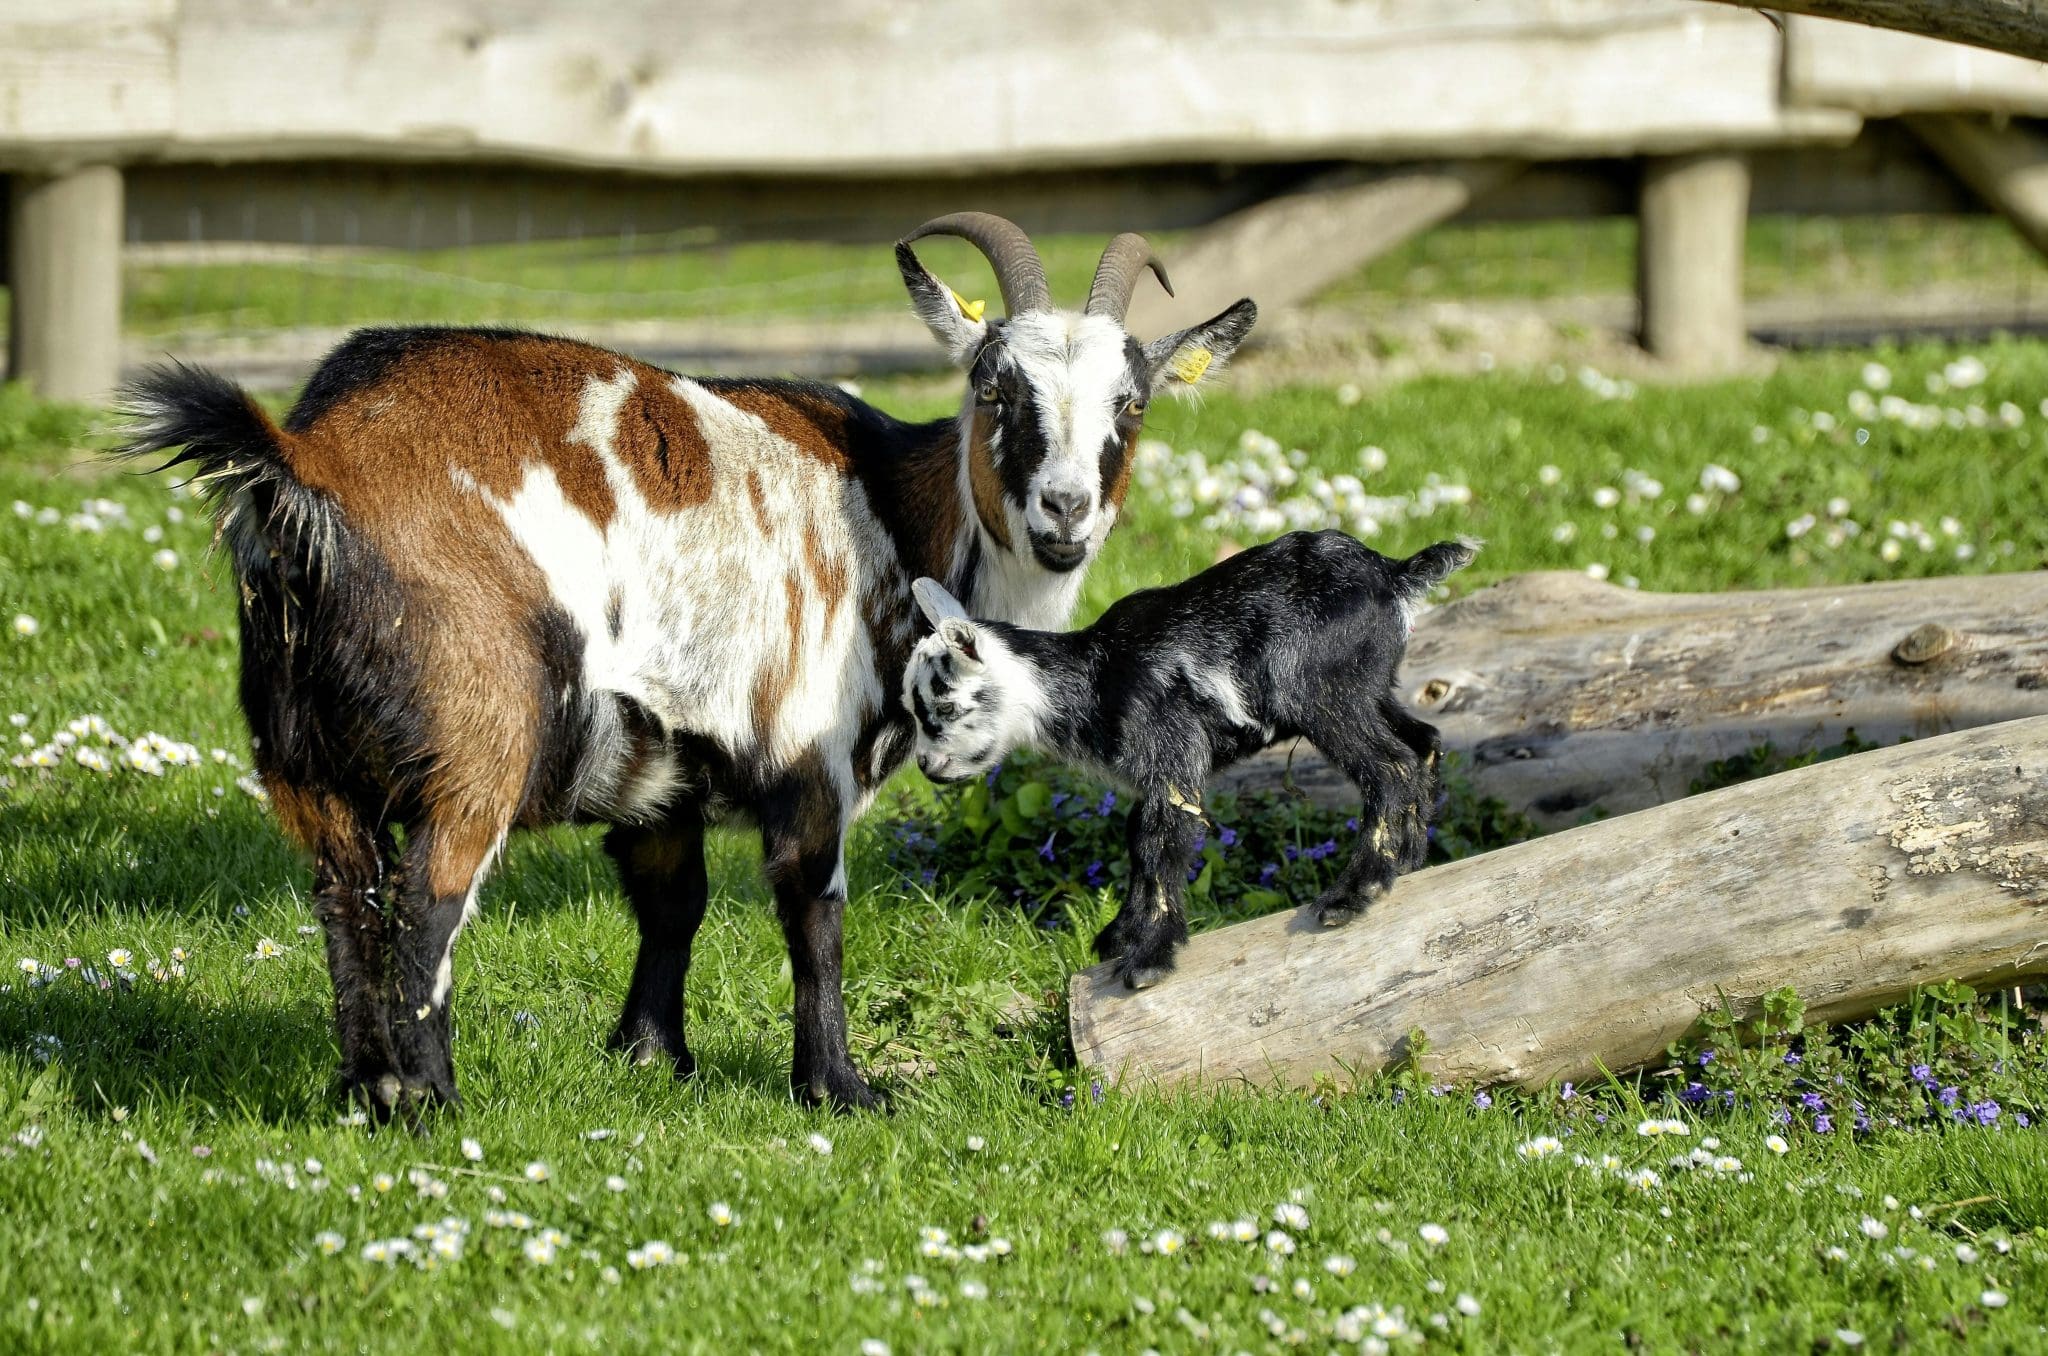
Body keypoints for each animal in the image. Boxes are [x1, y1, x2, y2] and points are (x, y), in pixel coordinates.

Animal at [116, 213, 1256, 1117]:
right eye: (993, 386)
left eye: (1132, 402)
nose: (1064, 510)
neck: (896, 509)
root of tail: (310, 464)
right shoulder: (811, 747)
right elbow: (813, 909)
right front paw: (840, 1088)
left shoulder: (657, 759)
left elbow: (673, 900)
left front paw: (649, 1056)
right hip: (476, 742)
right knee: (424, 905)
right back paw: (431, 1100)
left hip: (297, 758)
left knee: (343, 898)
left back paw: (363, 1093)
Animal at [903, 531, 1477, 989]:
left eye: (944, 707)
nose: (927, 768)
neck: (1093, 677)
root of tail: (1393, 574)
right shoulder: (1155, 774)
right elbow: (1139, 840)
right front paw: (1121, 935)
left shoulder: (1171, 753)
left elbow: (1162, 846)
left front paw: (1149, 960)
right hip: (1369, 687)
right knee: (1422, 742)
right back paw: (1407, 861)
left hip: (1316, 688)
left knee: (1389, 766)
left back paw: (1356, 892)